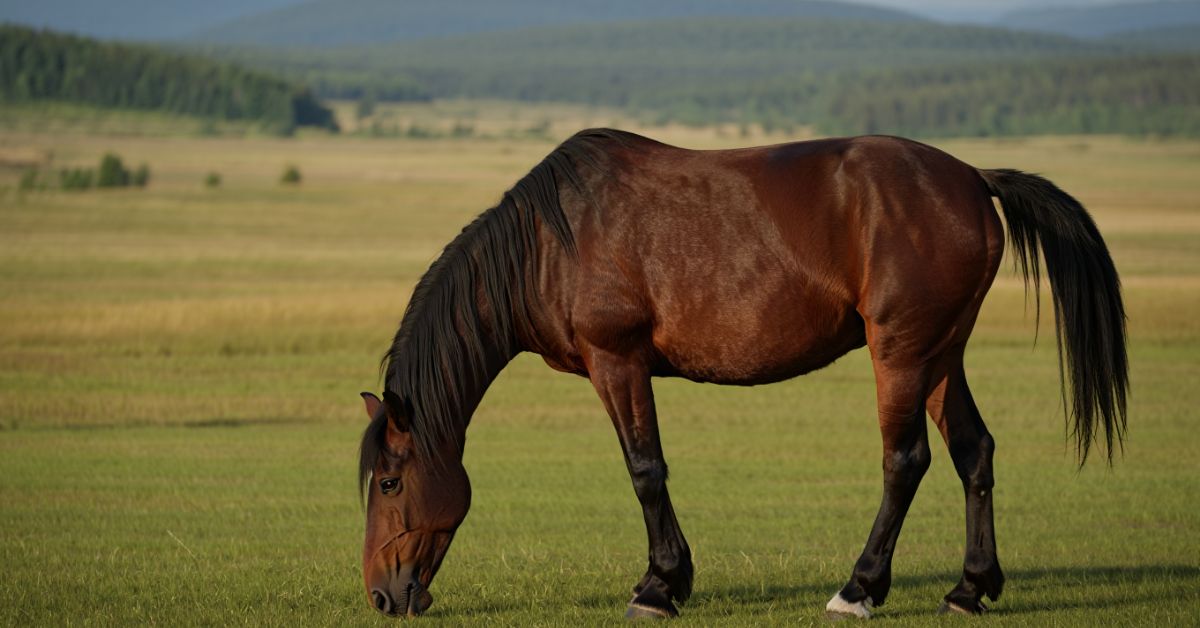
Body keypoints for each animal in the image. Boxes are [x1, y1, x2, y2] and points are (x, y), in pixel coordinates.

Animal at [356, 129, 1127, 619]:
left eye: (390, 482)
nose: (382, 596)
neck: (550, 244)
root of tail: (971, 179)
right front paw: (673, 580)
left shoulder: (618, 362)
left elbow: (645, 470)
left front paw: (658, 586)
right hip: (943, 355)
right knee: (974, 452)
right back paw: (968, 590)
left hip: (902, 354)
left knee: (905, 460)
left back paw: (858, 589)